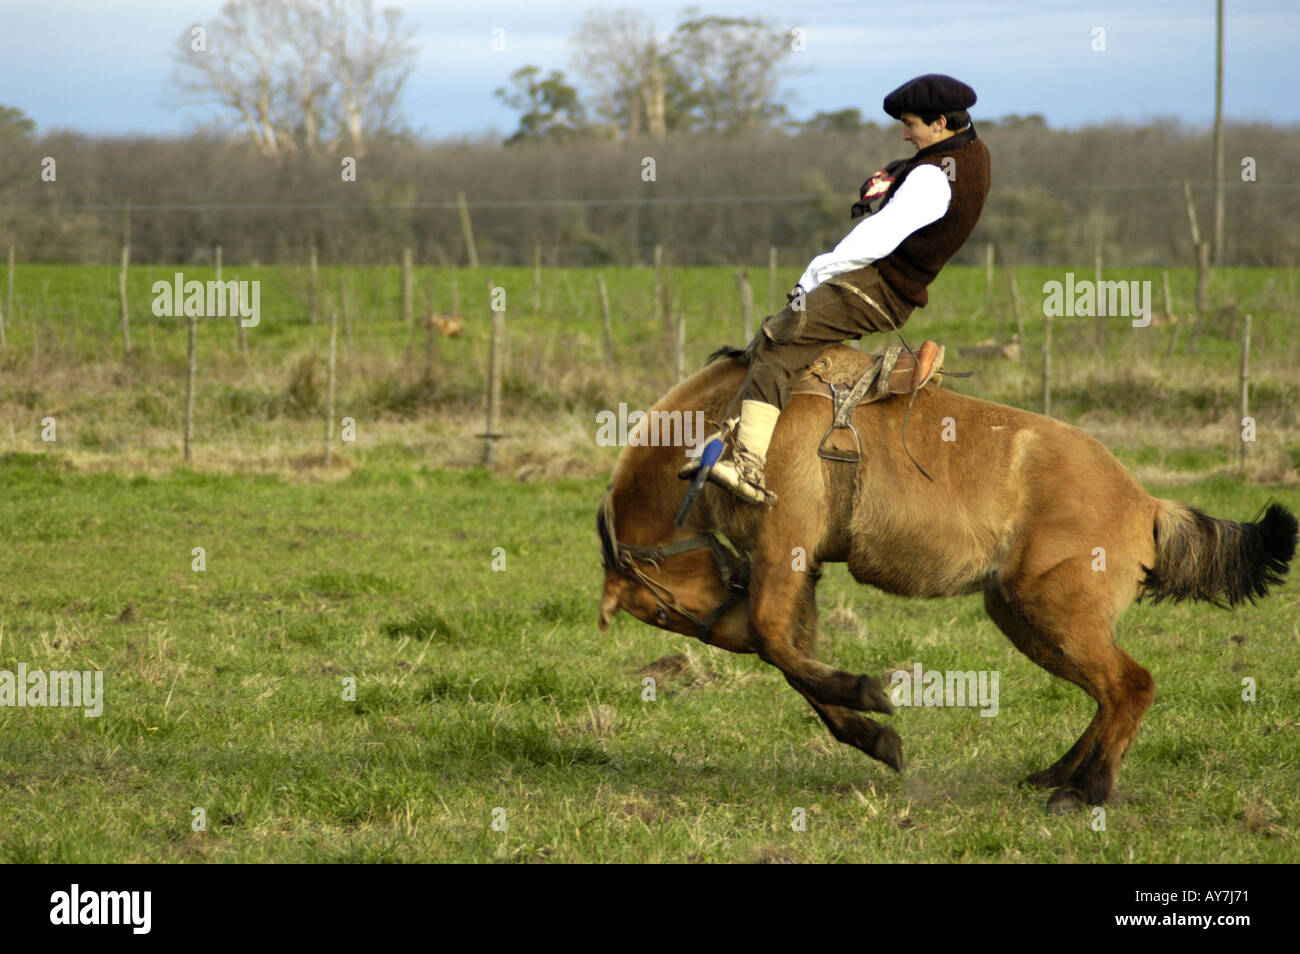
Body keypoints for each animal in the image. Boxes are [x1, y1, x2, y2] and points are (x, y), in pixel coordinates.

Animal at [596, 343, 1297, 813]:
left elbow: (777, 644)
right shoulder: (800, 572)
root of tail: (1146, 503)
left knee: (1131, 687)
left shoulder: (784, 551)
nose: (727, 635)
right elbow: (796, 663)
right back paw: (1059, 775)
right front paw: (871, 735)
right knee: (1108, 696)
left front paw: (867, 698)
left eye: (663, 610)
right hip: (1025, 620)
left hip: (1054, 614)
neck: (732, 425)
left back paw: (1087, 790)